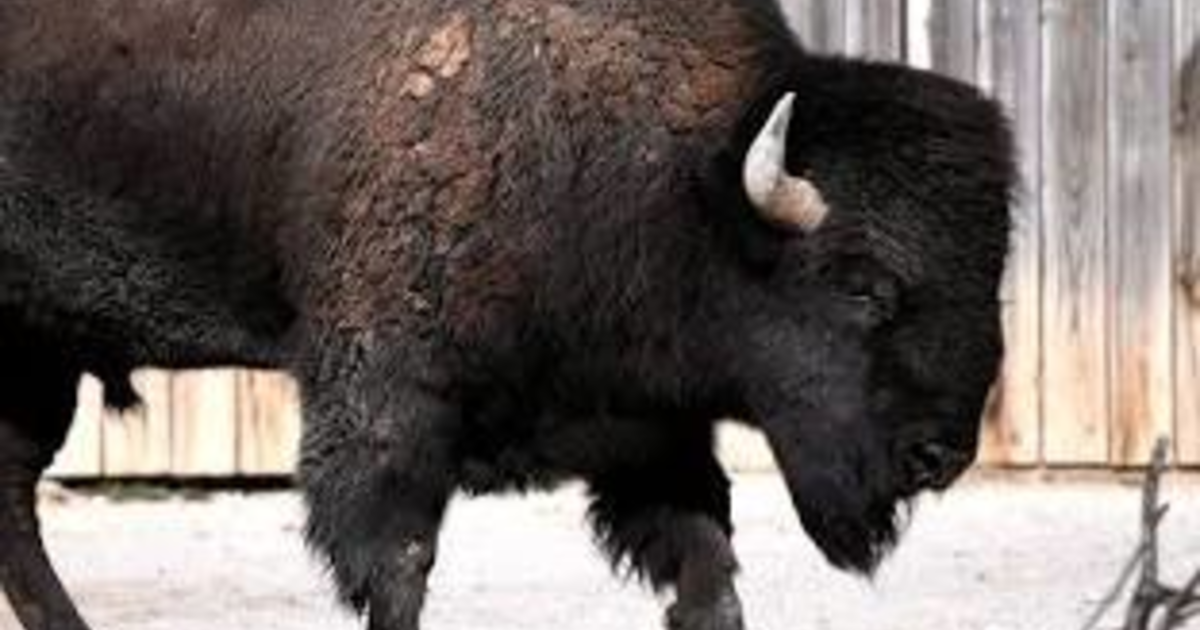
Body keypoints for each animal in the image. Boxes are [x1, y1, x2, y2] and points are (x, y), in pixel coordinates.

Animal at [0, 0, 1015, 628]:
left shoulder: (649, 436)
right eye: (861, 284)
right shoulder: (387, 414)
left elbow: (707, 573)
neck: (682, 181)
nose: (941, 455)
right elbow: (398, 570)